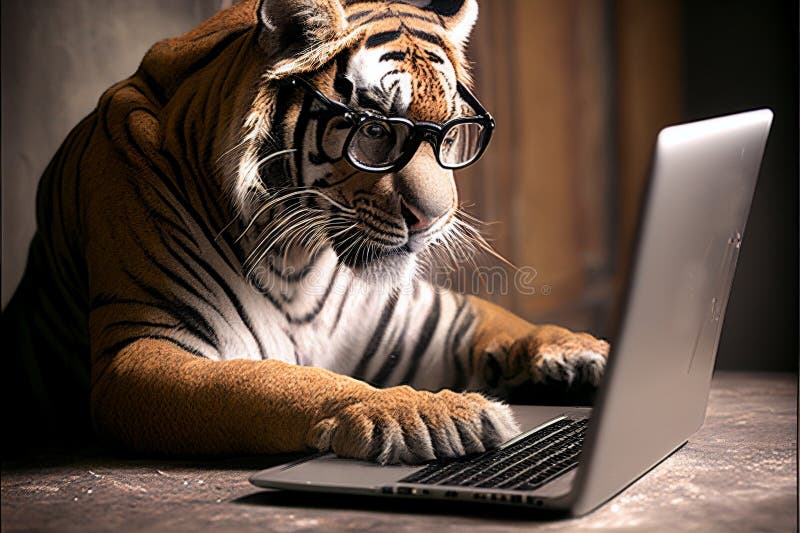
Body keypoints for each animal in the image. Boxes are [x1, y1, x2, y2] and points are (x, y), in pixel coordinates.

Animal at [2, 0, 609, 464]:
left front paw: (578, 349)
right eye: (377, 131)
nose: (433, 220)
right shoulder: (140, 349)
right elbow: (278, 381)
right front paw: (424, 412)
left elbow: (505, 321)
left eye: (452, 133)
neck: (297, 261)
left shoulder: (423, 321)